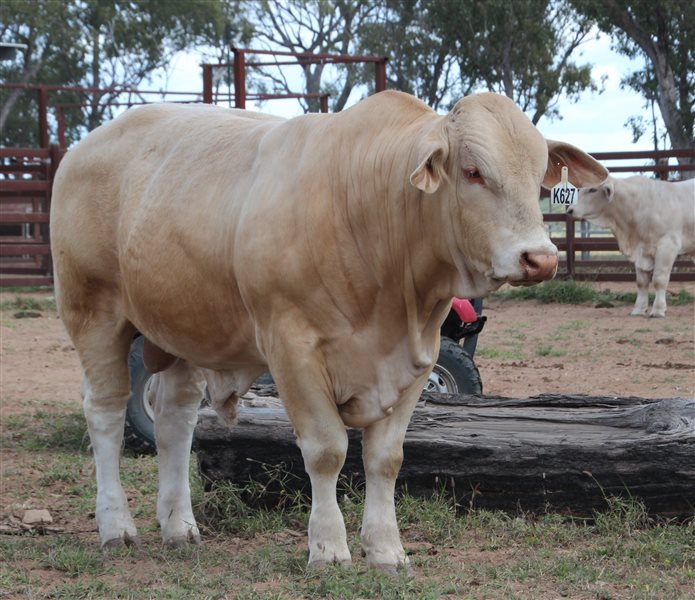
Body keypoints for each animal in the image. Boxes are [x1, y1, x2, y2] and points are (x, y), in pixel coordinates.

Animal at [50, 90, 608, 574]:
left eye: (538, 175)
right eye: (473, 172)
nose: (540, 258)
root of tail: (82, 147)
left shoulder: (417, 359)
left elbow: (385, 459)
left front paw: (386, 550)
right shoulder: (291, 348)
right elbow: (326, 450)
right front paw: (328, 548)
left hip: (182, 329)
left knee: (174, 419)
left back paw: (179, 525)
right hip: (95, 315)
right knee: (106, 414)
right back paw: (116, 525)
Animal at [568, 175, 695, 318]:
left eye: (592, 189)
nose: (570, 210)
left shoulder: (667, 247)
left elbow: (659, 280)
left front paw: (658, 310)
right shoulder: (641, 251)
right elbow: (641, 282)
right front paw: (638, 309)